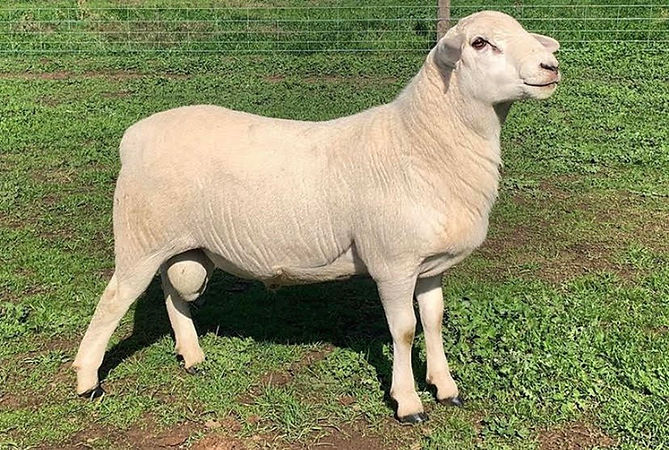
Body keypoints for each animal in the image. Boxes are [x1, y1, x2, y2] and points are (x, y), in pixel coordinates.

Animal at [73, 11, 560, 423]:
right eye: (480, 42)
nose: (551, 66)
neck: (420, 141)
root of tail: (134, 135)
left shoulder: (429, 266)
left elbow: (434, 321)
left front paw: (445, 387)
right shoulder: (393, 263)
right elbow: (404, 331)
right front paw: (407, 403)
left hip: (182, 244)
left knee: (175, 290)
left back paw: (191, 356)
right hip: (140, 237)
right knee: (114, 300)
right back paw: (87, 379)